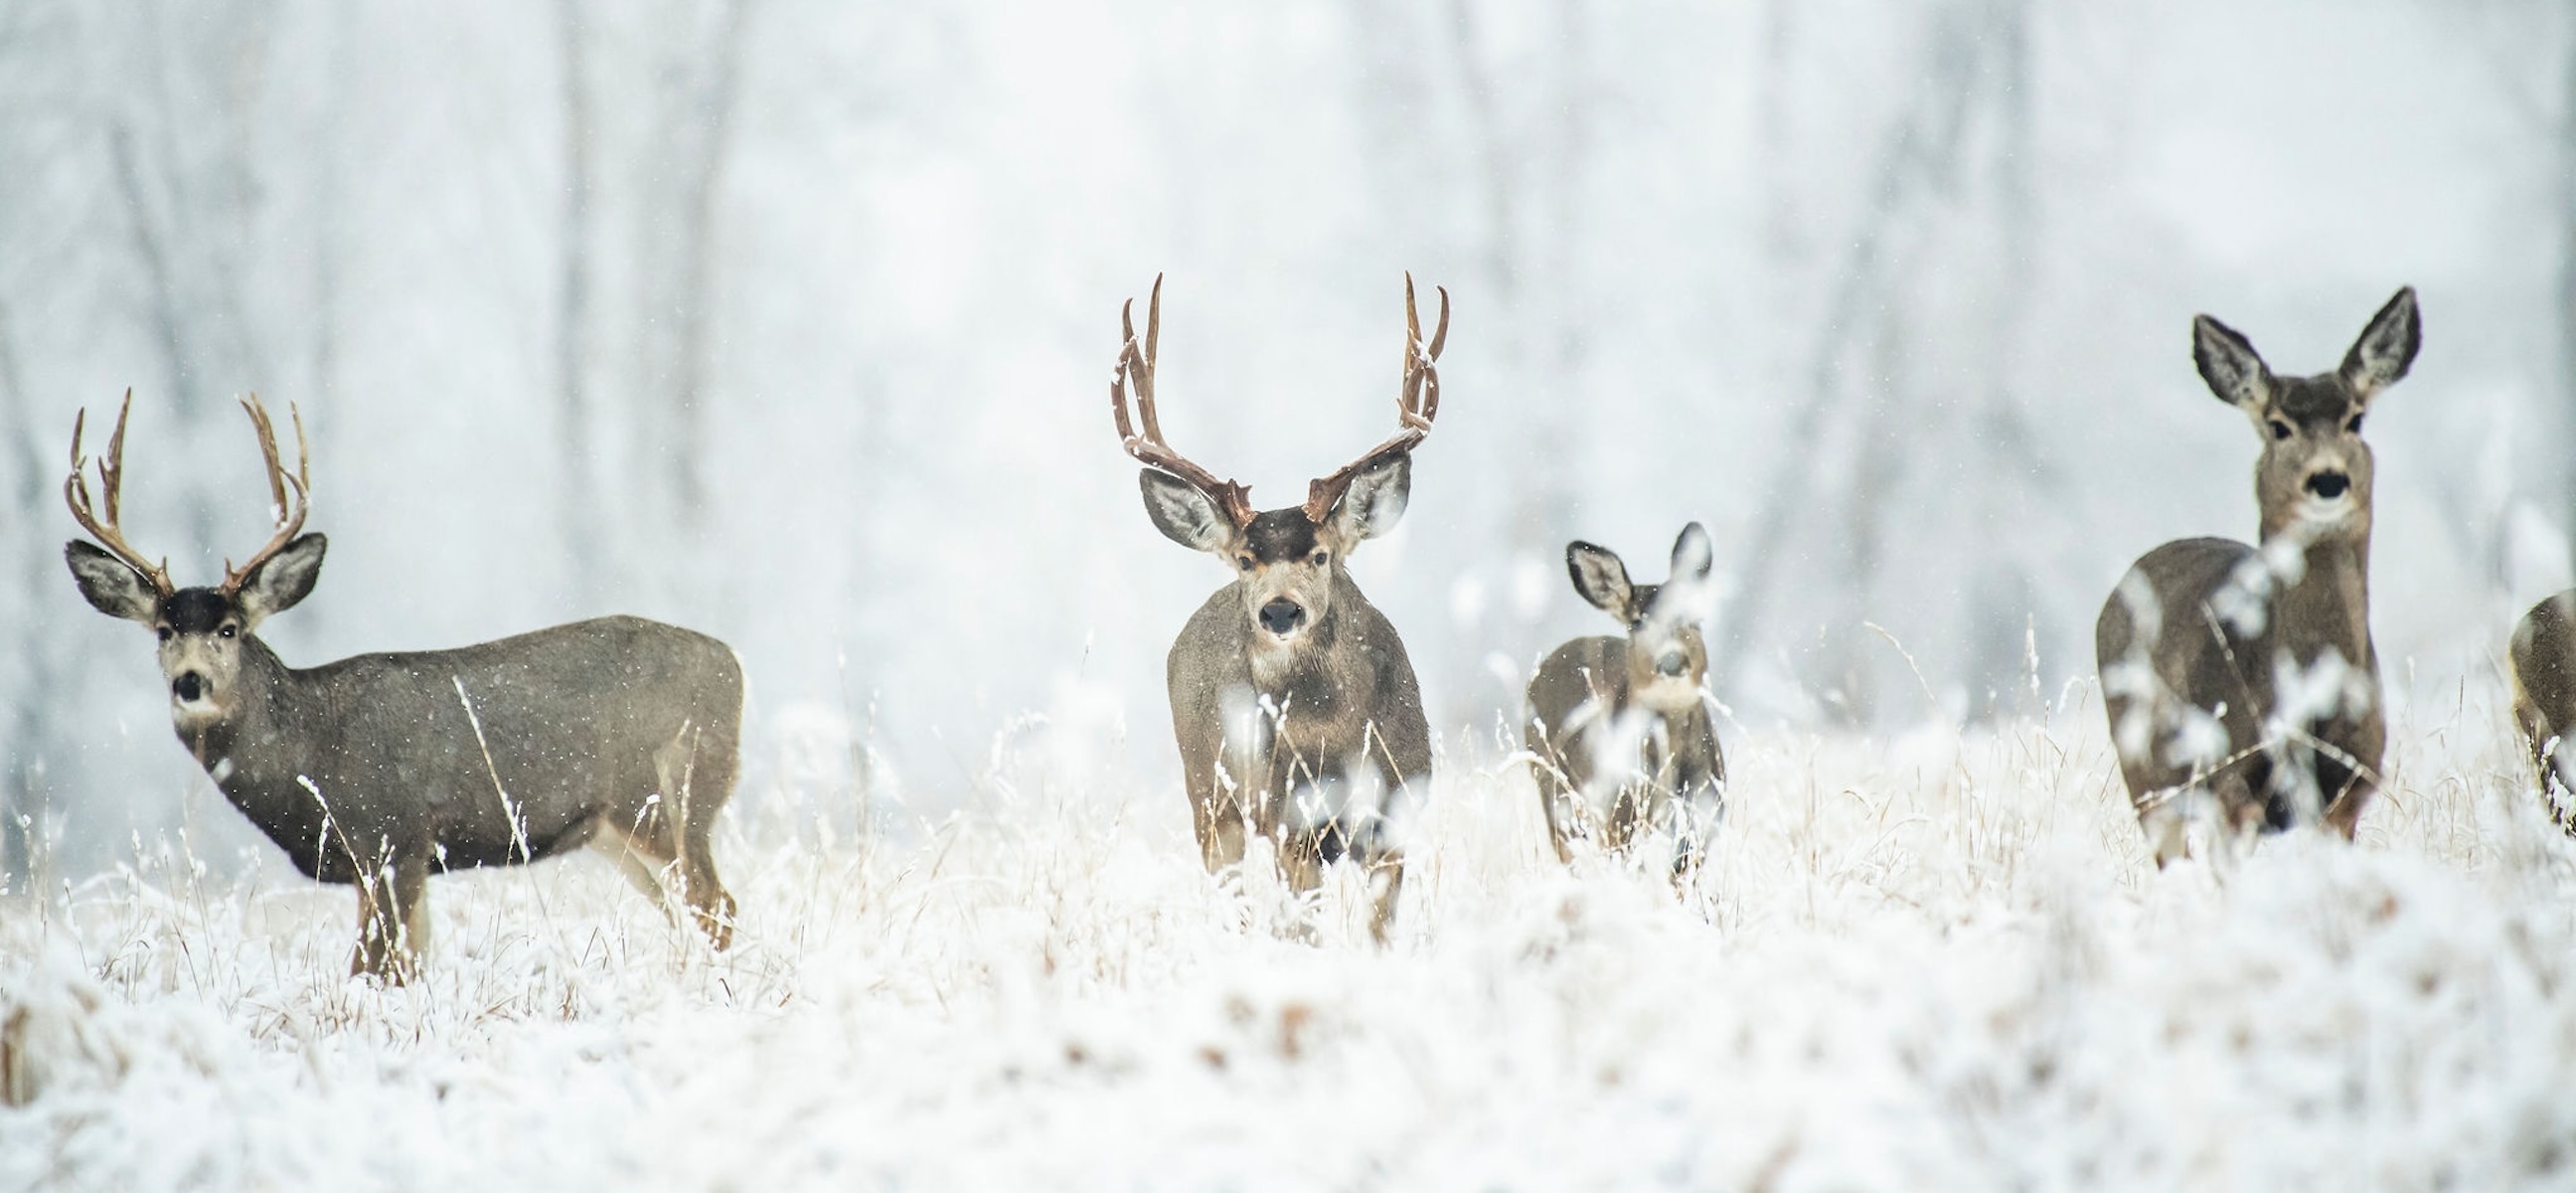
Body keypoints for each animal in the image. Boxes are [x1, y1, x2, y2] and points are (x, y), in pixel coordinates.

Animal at [62, 391, 743, 982]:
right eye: (163, 632)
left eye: (229, 629)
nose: (190, 682)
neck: (312, 749)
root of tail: (735, 666)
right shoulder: (397, 863)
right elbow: (410, 965)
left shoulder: (395, 839)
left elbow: (375, 970)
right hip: (616, 831)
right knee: (687, 912)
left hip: (670, 798)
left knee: (719, 907)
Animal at [1110, 274, 1445, 944]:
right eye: (1245, 560)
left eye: (1319, 555)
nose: (1280, 611)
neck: (1334, 742)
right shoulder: (1291, 823)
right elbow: (1301, 928)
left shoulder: (1395, 818)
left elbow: (1378, 930)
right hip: (1209, 797)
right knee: (1235, 898)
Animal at [1524, 523, 1726, 884]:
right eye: (1638, 622)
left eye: (1693, 618)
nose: (1671, 660)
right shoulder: (1619, 812)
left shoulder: (1705, 814)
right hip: (1551, 783)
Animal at [2095, 287, 2420, 866]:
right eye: (2278, 425)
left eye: (2355, 419)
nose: (2328, 479)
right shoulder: (2232, 781)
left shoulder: (2351, 789)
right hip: (2147, 771)